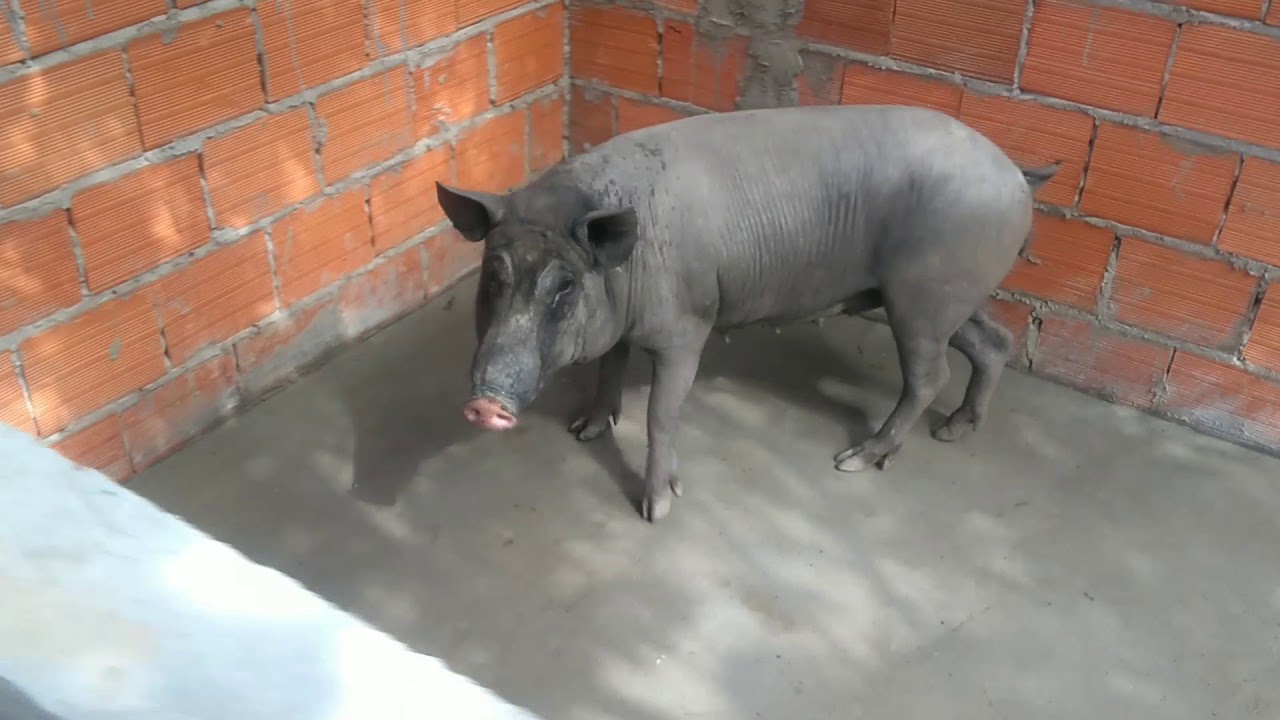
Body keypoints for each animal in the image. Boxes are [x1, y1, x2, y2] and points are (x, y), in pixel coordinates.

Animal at [439, 104, 1058, 522]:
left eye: (564, 285)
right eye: (493, 277)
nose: (482, 405)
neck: (625, 270)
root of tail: (1016, 172)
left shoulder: (688, 327)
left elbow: (662, 413)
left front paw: (658, 508)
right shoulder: (621, 326)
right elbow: (608, 366)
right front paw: (584, 431)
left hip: (920, 299)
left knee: (930, 376)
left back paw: (856, 459)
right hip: (943, 299)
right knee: (993, 341)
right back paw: (956, 430)